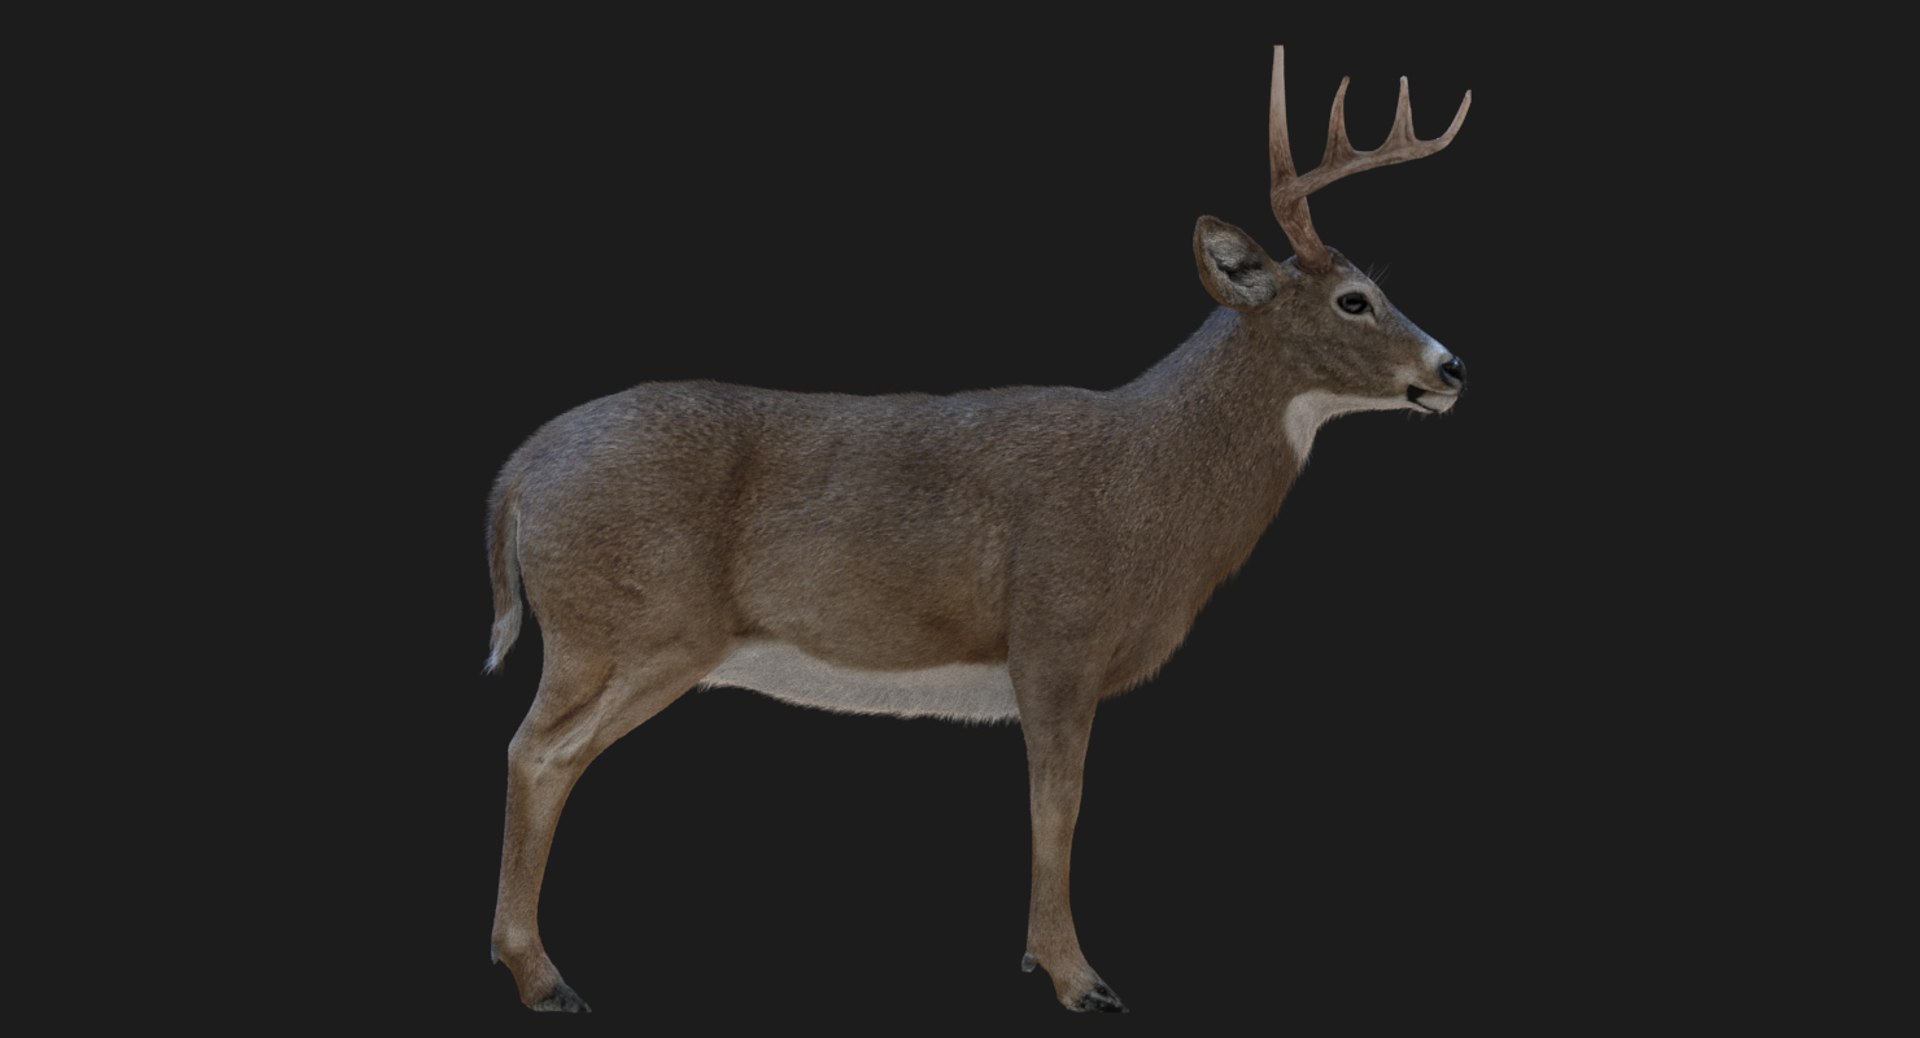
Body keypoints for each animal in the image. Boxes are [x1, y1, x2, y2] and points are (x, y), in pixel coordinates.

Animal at [484, 46, 1472, 1014]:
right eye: (1354, 299)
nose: (1453, 368)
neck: (1150, 484)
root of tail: (519, 472)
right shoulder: (1056, 639)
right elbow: (1058, 809)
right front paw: (1078, 979)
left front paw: (1046, 961)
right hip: (626, 629)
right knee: (538, 752)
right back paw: (540, 977)